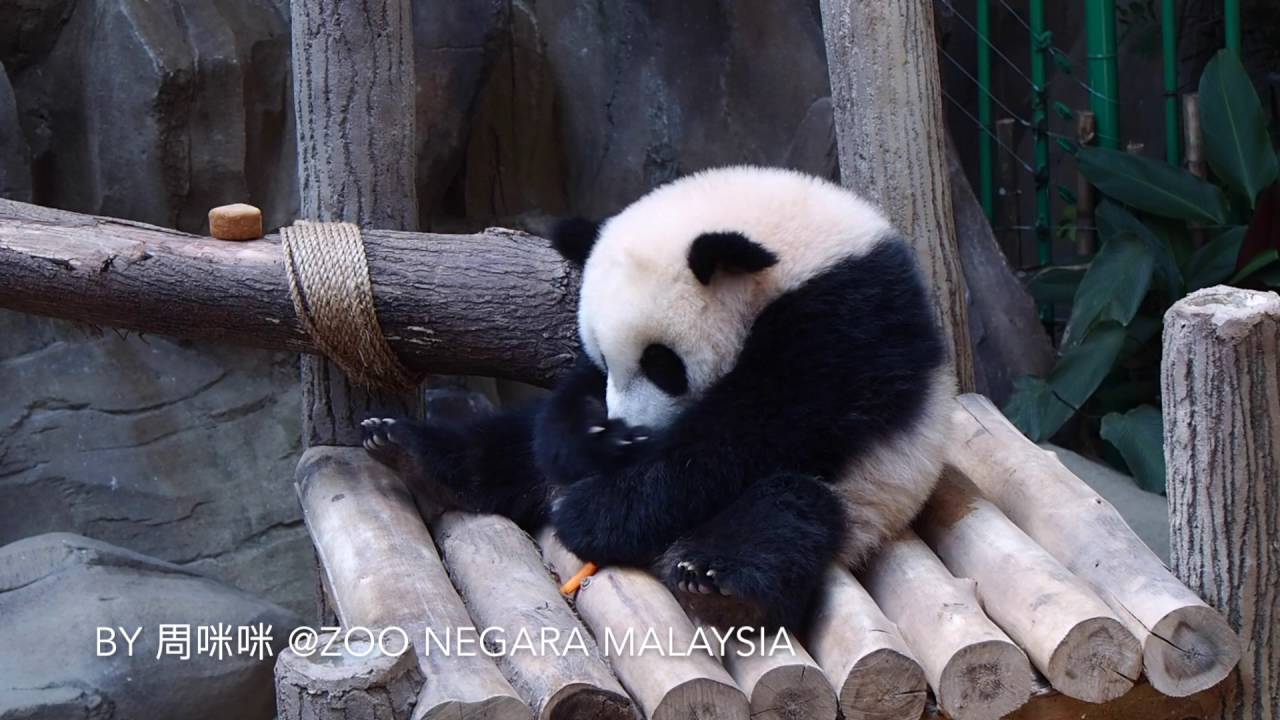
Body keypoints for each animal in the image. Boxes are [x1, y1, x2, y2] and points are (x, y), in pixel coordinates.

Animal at [361, 166, 954, 628]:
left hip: (867, 493)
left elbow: (752, 431)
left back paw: (722, 587)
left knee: (789, 510)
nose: (632, 430)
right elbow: (564, 404)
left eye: (661, 365)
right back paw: (411, 452)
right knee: (510, 443)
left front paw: (595, 513)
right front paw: (592, 441)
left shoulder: (849, 321)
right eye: (605, 361)